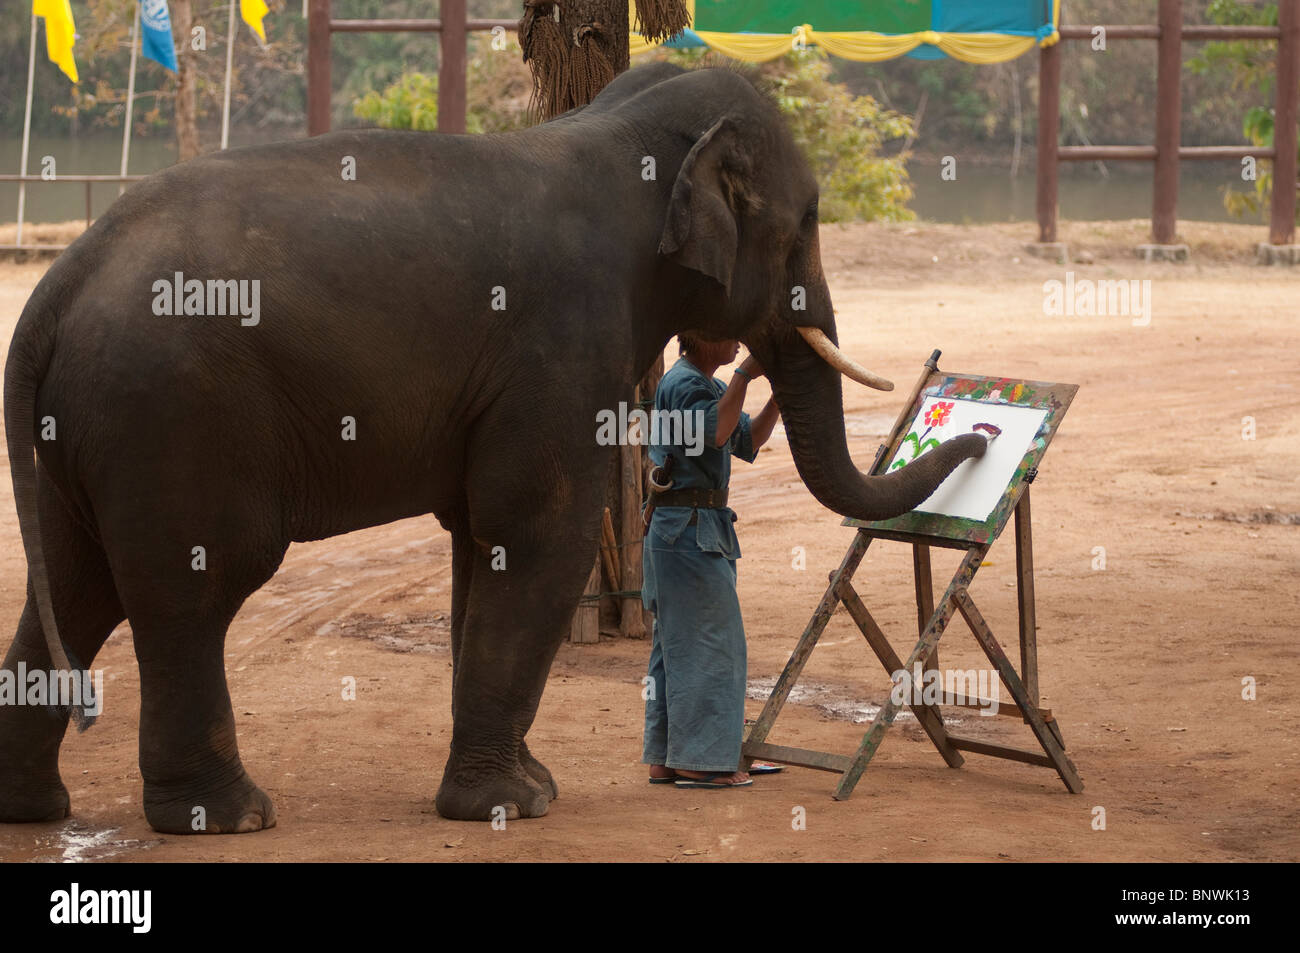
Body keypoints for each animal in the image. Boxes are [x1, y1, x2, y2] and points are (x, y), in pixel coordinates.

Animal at [0, 63, 988, 831]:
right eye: (809, 220)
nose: (978, 431)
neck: (616, 130)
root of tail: (58, 282)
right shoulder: (559, 345)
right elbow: (538, 532)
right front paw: (515, 804)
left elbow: (481, 541)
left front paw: (515, 787)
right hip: (174, 413)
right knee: (193, 588)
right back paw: (229, 815)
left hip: (98, 430)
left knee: (79, 580)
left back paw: (36, 809)